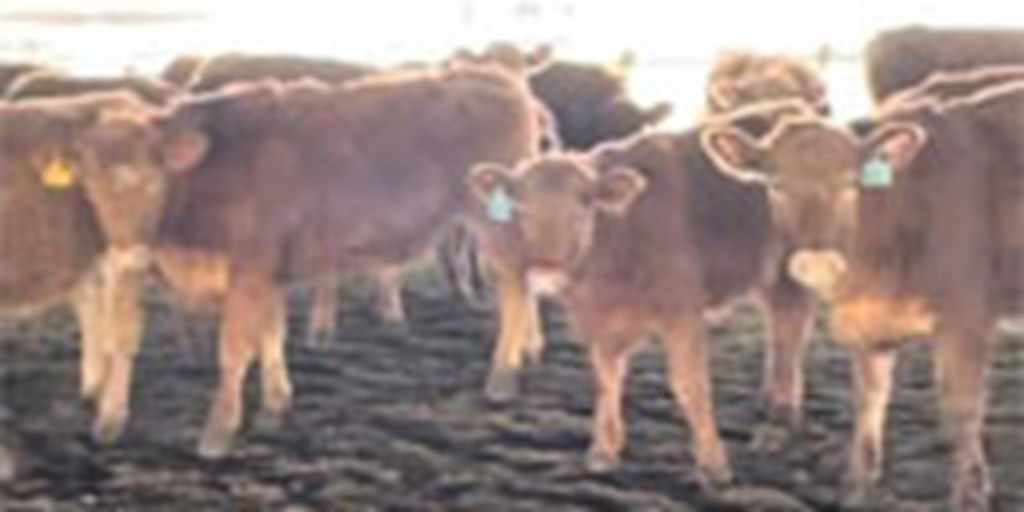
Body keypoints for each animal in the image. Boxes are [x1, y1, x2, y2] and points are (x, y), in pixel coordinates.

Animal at [0, 92, 208, 479]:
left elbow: (124, 332)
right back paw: (94, 386)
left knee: (114, 324)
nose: (136, 249)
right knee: (94, 305)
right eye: (91, 187)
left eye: (155, 181)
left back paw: (106, 409)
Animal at [147, 58, 545, 458]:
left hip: (495, 227)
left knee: (514, 298)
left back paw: (502, 379)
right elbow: (271, 337)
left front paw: (215, 436)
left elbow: (234, 351)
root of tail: (495, 75)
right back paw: (528, 353)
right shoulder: (268, 274)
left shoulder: (251, 270)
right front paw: (275, 404)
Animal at [708, 80, 1024, 511]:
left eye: (850, 183)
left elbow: (962, 405)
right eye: (776, 185)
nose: (817, 260)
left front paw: (970, 493)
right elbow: (870, 397)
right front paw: (859, 482)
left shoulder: (966, 316)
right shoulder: (870, 327)